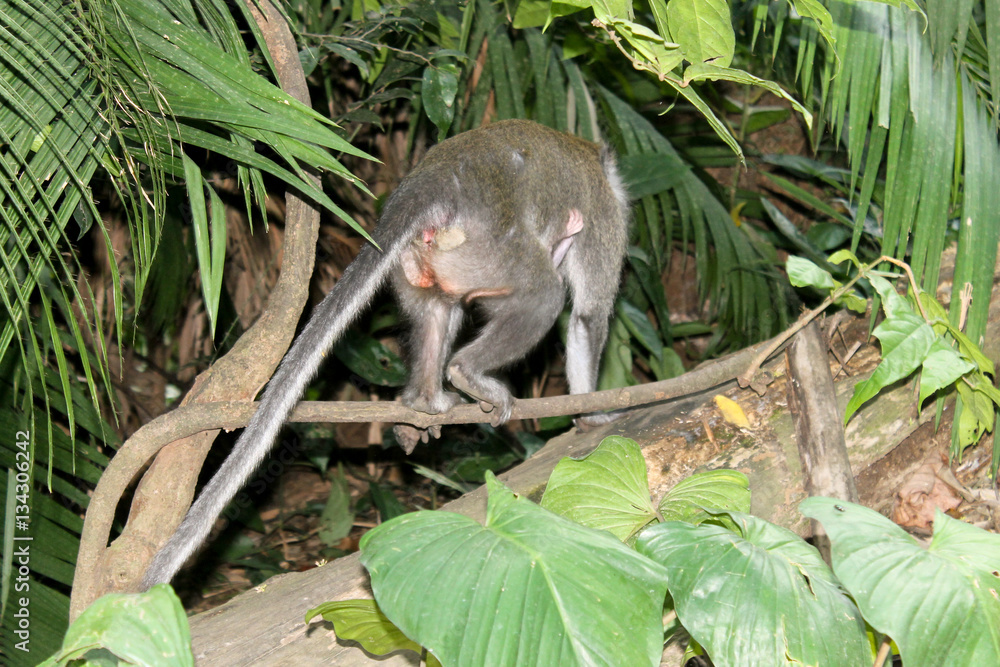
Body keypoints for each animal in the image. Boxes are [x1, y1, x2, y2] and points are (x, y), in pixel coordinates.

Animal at [141, 119, 629, 587]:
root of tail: (435, 179)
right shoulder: (602, 210)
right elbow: (587, 317)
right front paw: (593, 415)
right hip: (494, 250)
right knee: (543, 293)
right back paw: (467, 373)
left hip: (427, 259)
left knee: (439, 309)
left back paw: (424, 402)